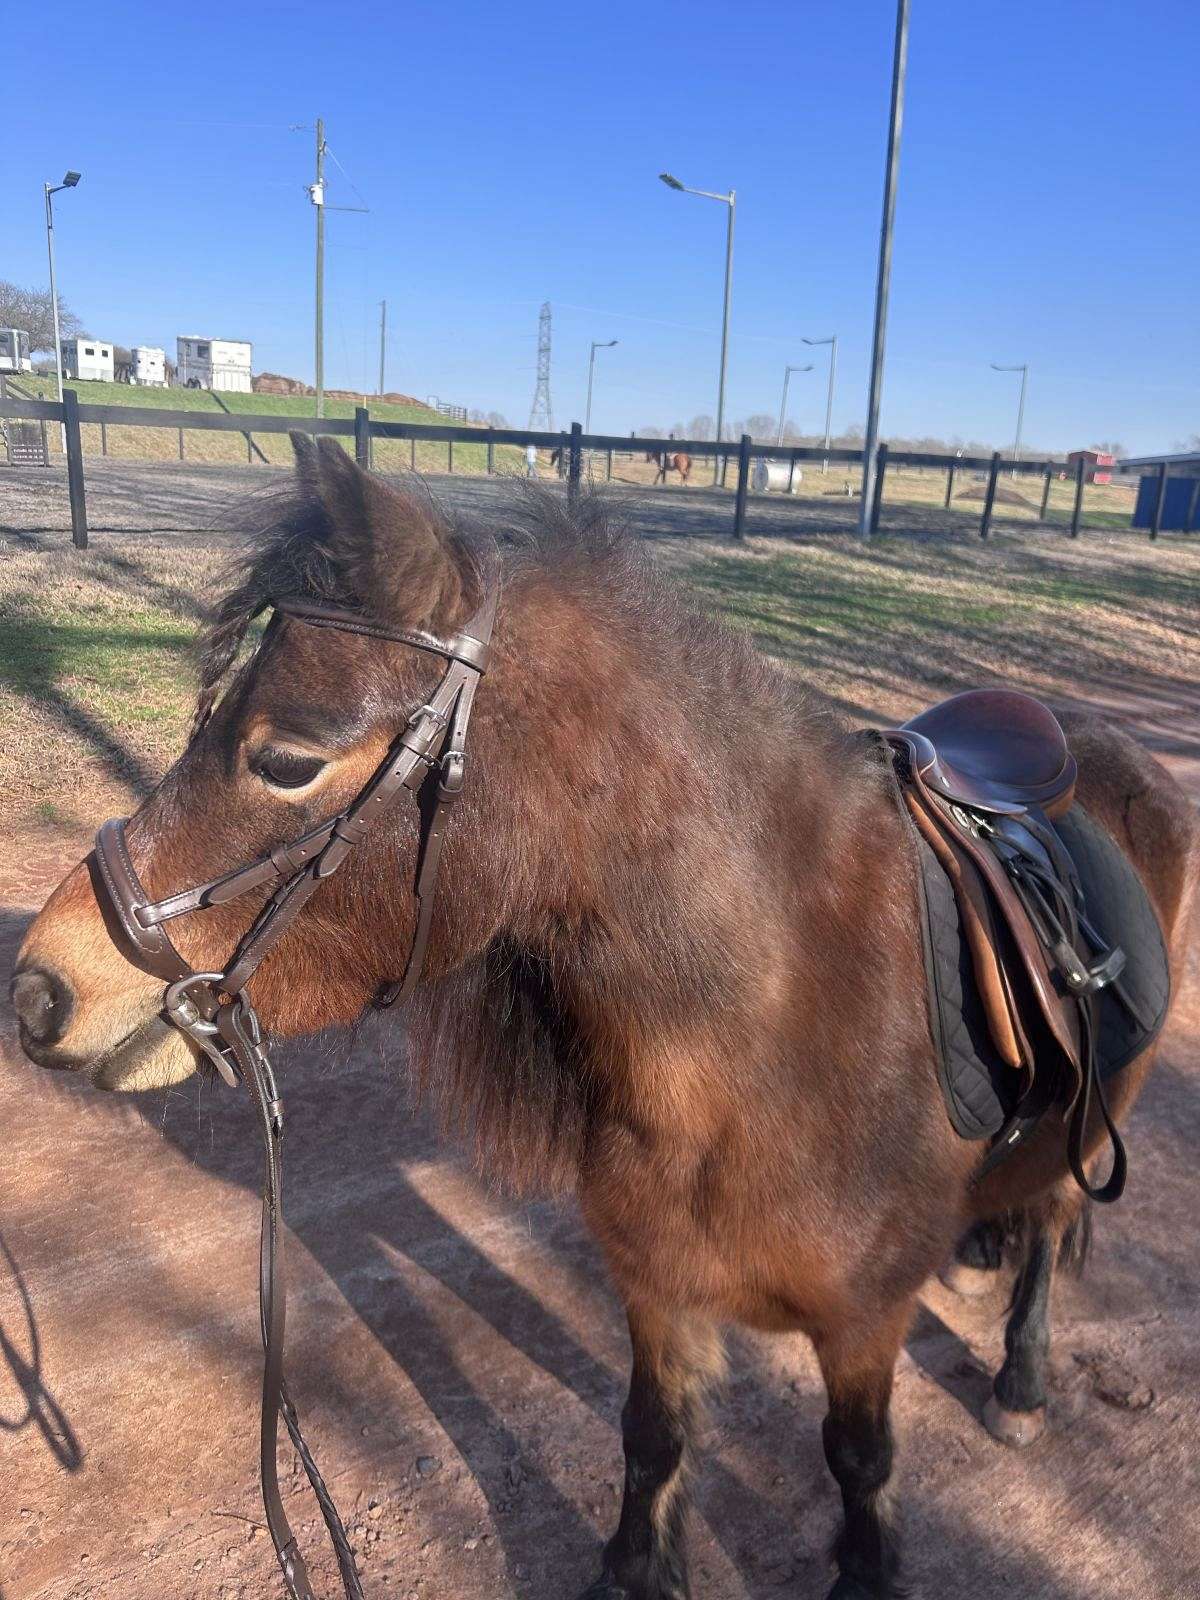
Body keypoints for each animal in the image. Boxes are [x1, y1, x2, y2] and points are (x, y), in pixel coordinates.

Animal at [11, 435, 1197, 1600]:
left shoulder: (862, 1323)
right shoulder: (656, 1283)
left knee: (1055, 1218)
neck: (773, 1030)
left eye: (286, 759)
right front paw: (637, 1567)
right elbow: (650, 1435)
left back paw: (1023, 1376)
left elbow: (861, 1464)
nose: (38, 989)